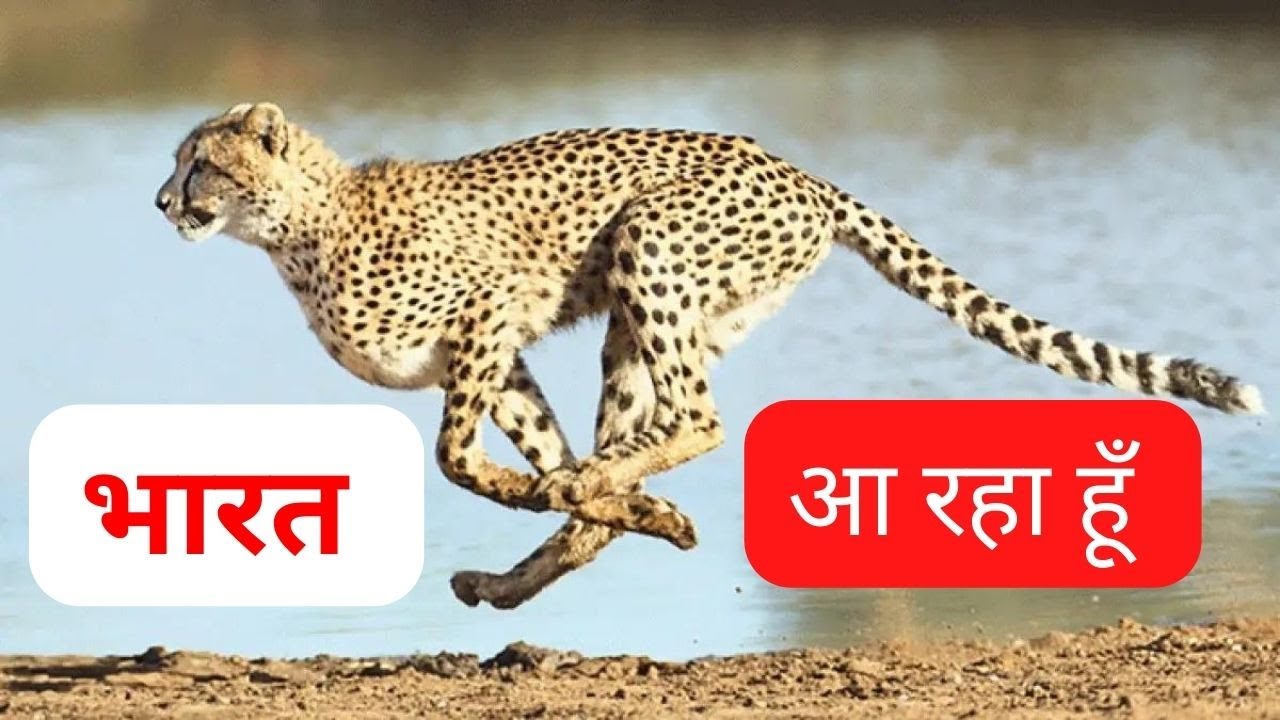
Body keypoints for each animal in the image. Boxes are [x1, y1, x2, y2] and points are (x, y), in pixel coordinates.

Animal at [155, 102, 1263, 609]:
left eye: (201, 162)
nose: (163, 201)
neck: (295, 229)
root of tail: (798, 170)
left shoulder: (488, 314)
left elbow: (458, 457)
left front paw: (557, 491)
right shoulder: (499, 353)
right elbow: (534, 454)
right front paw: (607, 506)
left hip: (648, 241)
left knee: (699, 417)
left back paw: (596, 497)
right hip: (648, 317)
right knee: (652, 431)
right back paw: (564, 544)